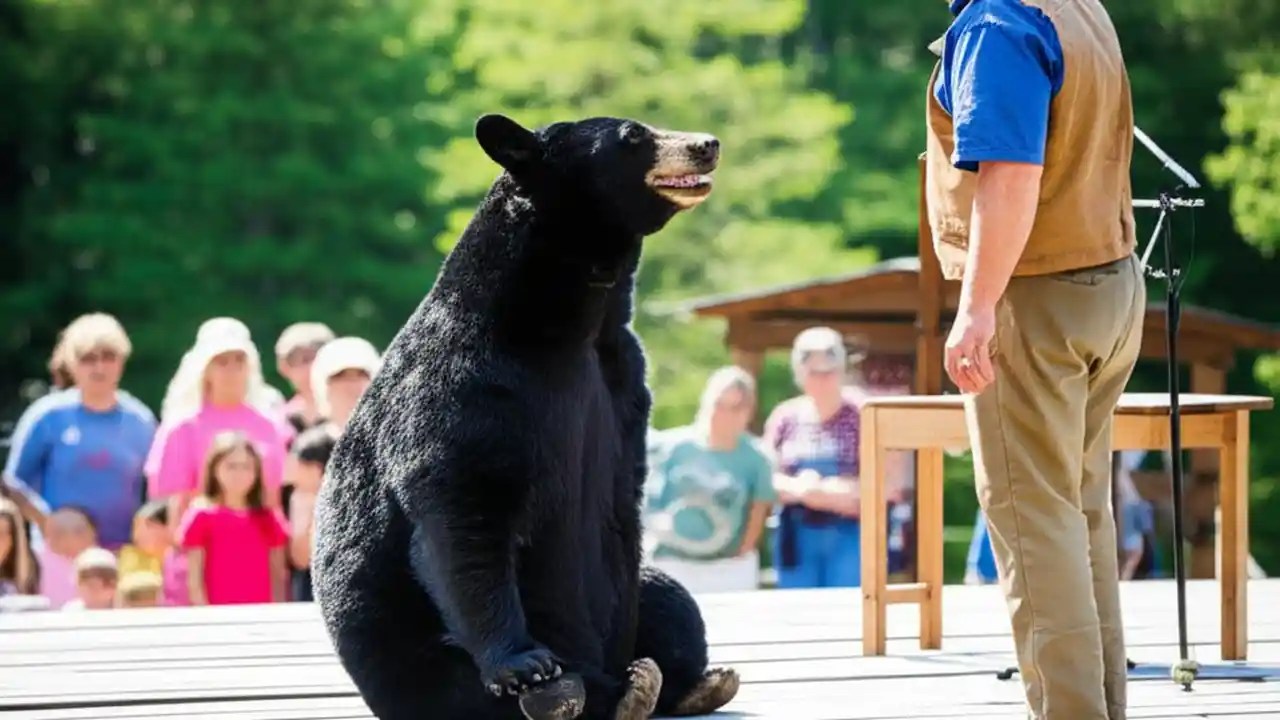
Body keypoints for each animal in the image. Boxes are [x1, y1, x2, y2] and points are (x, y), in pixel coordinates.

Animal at [311, 113, 740, 720]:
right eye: (633, 135)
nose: (707, 144)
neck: (567, 322)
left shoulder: (623, 381)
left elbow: (622, 502)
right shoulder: (468, 383)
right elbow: (462, 505)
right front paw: (525, 665)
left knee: (669, 596)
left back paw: (688, 681)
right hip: (405, 651)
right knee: (457, 679)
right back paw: (580, 692)